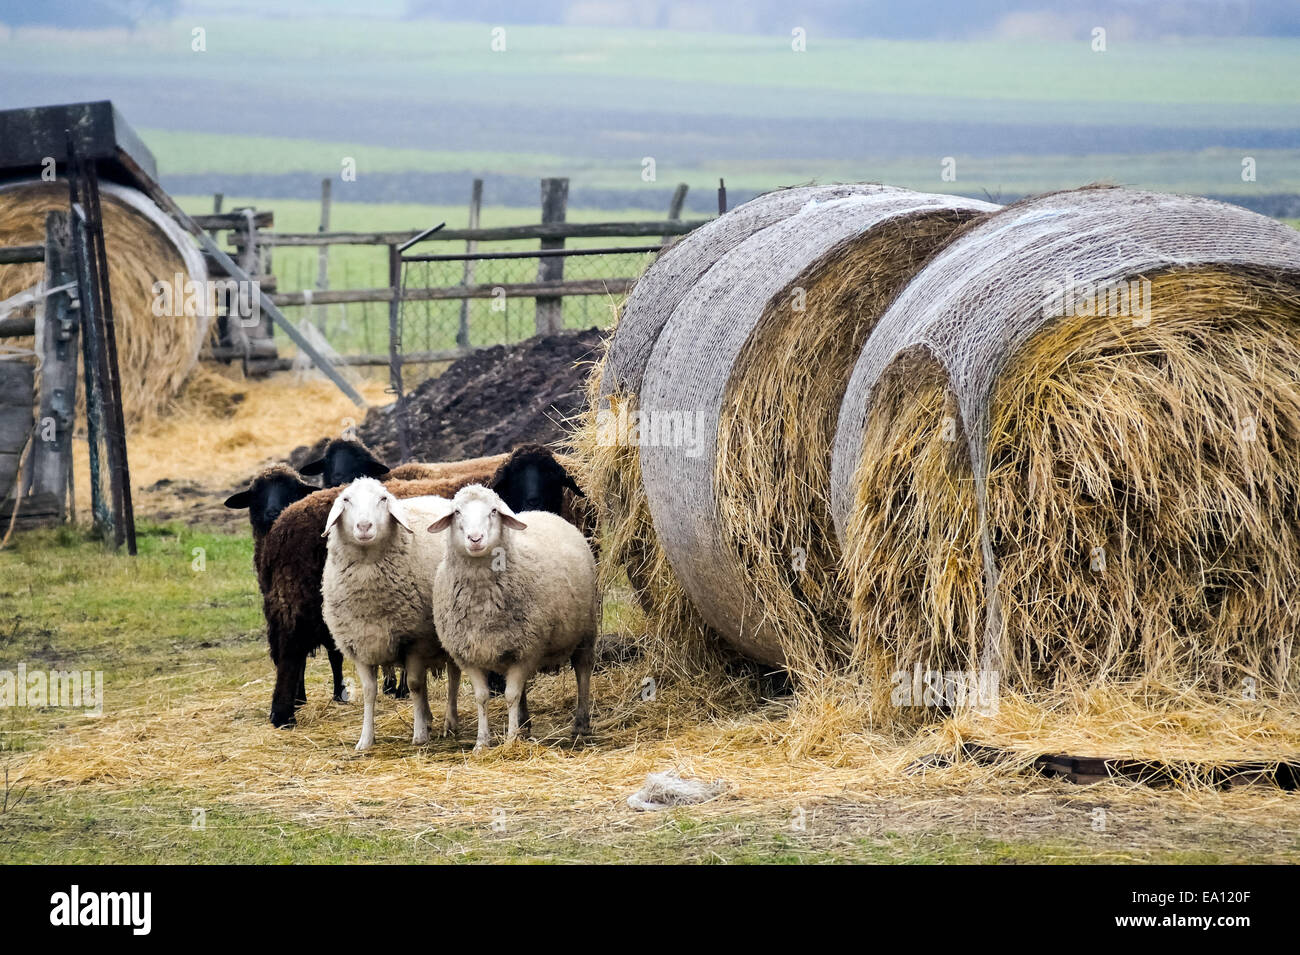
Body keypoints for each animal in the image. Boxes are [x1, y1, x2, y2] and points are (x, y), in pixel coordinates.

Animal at [322, 478, 457, 750]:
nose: (364, 526)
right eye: (346, 500)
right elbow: (369, 691)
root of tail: (438, 498)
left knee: (453, 677)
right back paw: (428, 717)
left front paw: (419, 735)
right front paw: (365, 739)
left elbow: (415, 685)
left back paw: (449, 721)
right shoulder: (359, 644)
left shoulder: (416, 639)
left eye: (383, 499)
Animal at [427, 484, 598, 751]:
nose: (475, 539)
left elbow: (510, 695)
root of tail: (545, 512)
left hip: (586, 629)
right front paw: (482, 743)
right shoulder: (469, 655)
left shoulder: (527, 650)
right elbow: (482, 697)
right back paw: (524, 723)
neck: (481, 601)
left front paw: (510, 740)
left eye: (493, 511)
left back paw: (581, 723)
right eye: (456, 512)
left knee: (582, 670)